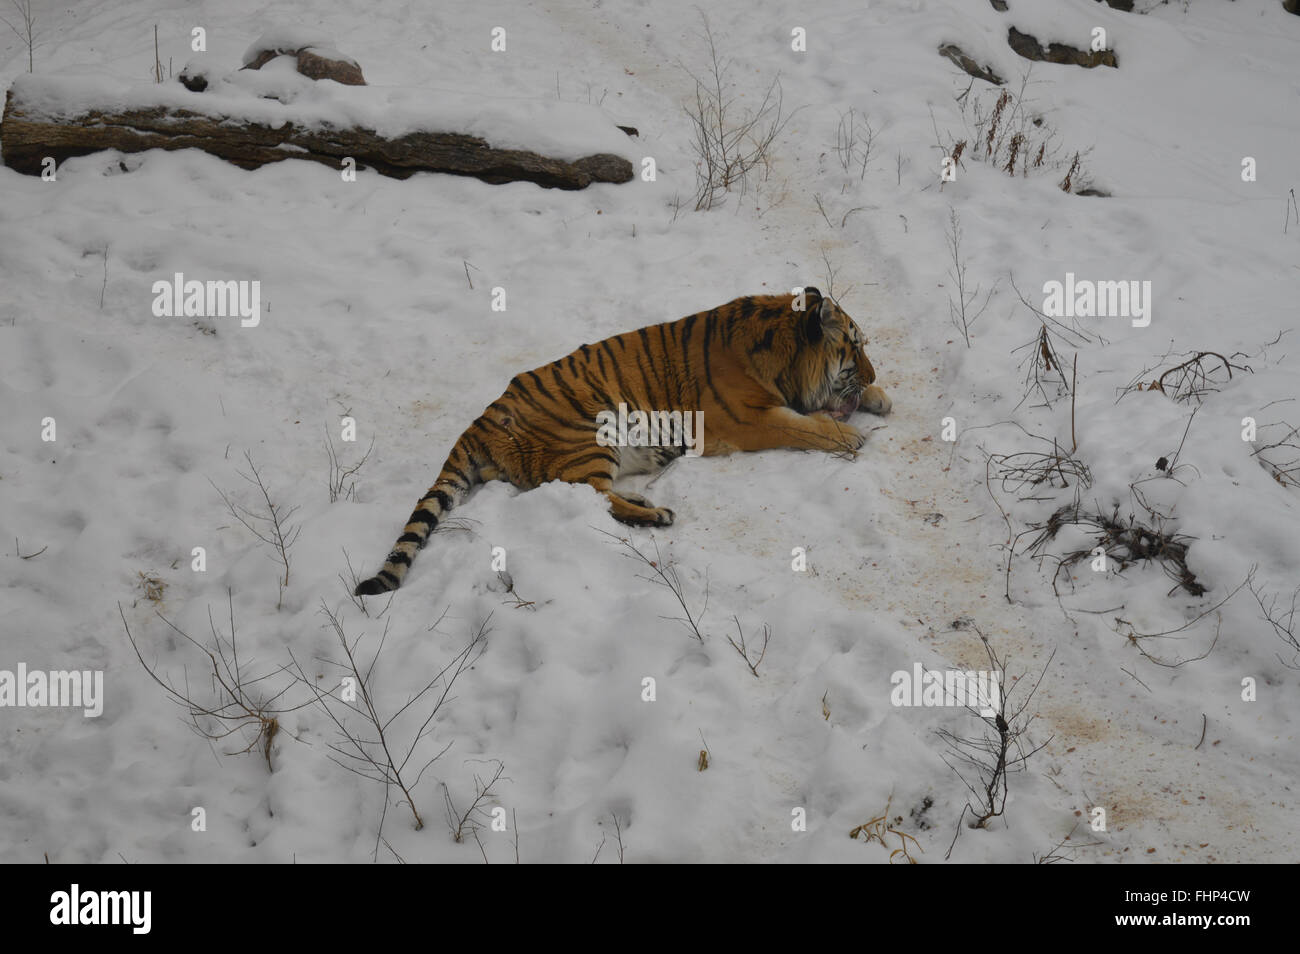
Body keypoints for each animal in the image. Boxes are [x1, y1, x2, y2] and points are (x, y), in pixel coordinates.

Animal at [354, 286, 891, 596]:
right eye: (855, 346)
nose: (873, 374)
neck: (776, 345)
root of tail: (480, 422)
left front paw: (879, 399)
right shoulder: (742, 421)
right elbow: (803, 425)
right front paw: (849, 433)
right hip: (590, 432)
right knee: (594, 499)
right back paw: (658, 514)